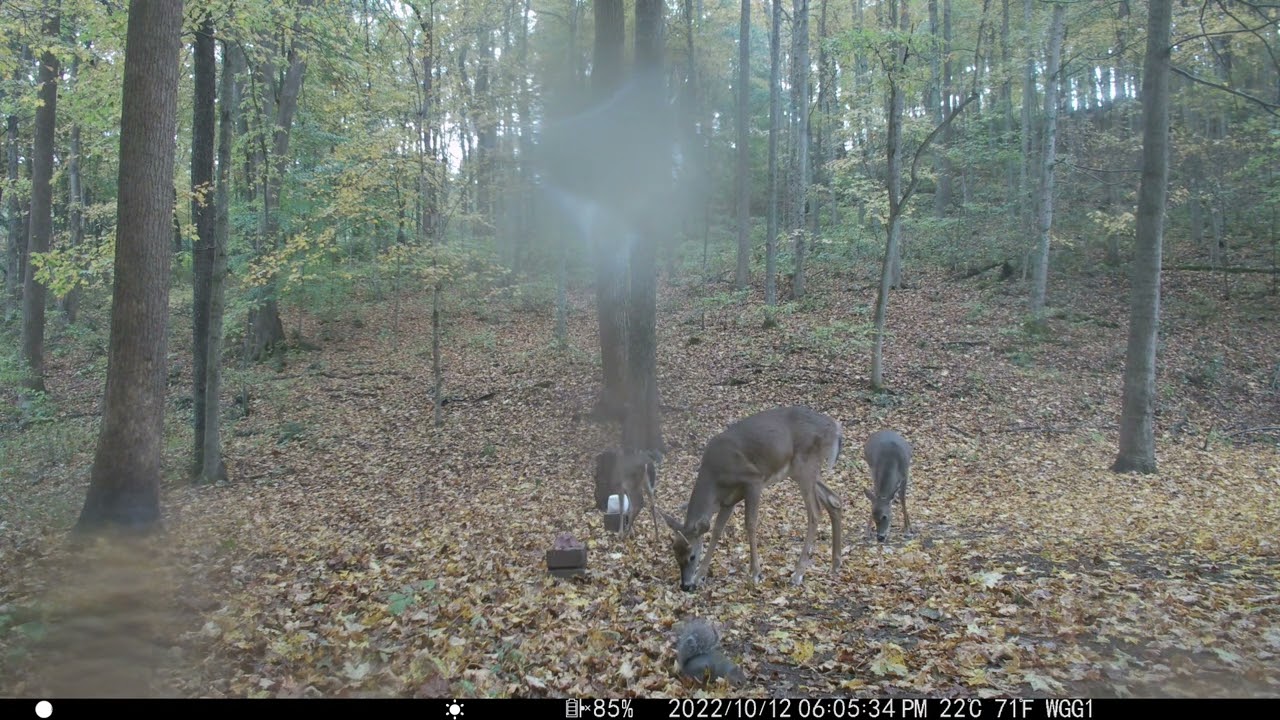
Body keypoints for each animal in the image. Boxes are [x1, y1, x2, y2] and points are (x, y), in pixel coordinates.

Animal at [658, 406, 845, 591]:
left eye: (692, 556)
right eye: (675, 553)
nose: (685, 585)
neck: (715, 478)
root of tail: (835, 427)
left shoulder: (754, 480)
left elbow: (750, 524)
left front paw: (756, 573)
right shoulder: (728, 501)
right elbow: (717, 531)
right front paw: (700, 577)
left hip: (805, 464)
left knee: (815, 512)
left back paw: (798, 573)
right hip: (800, 471)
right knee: (833, 499)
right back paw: (835, 564)